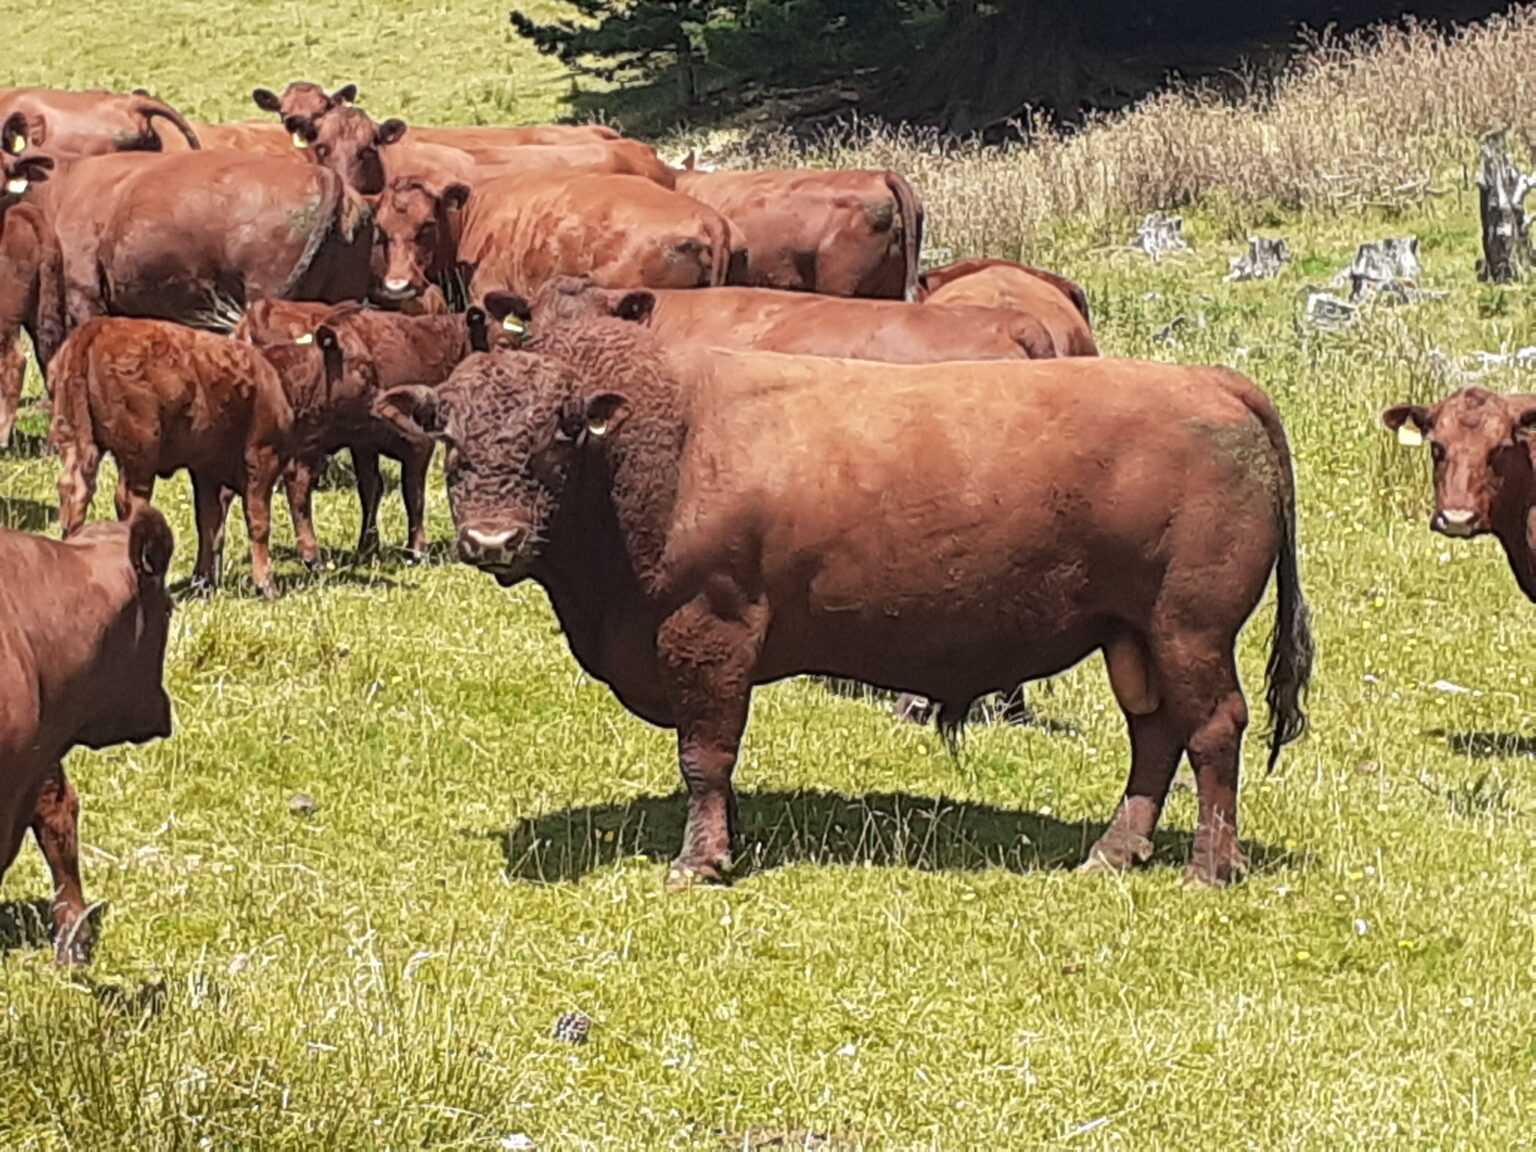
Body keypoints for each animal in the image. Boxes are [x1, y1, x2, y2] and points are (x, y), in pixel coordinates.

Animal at [49, 318, 295, 599]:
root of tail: (99, 325)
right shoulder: (263, 457)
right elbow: (258, 520)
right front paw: (266, 584)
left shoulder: (205, 470)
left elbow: (208, 522)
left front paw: (203, 581)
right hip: (140, 452)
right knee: (130, 501)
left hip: (78, 438)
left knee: (75, 489)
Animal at [236, 299, 489, 558]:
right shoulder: (418, 442)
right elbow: (413, 493)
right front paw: (416, 550)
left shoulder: (365, 445)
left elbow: (371, 489)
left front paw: (368, 547)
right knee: (298, 483)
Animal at [374, 310, 1312, 890]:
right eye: (450, 439)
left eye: (558, 438)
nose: (491, 540)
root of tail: (1211, 382)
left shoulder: (709, 628)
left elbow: (704, 754)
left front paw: (700, 861)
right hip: (1131, 633)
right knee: (1155, 734)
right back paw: (1114, 853)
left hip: (1189, 625)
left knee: (1213, 728)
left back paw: (1207, 867)